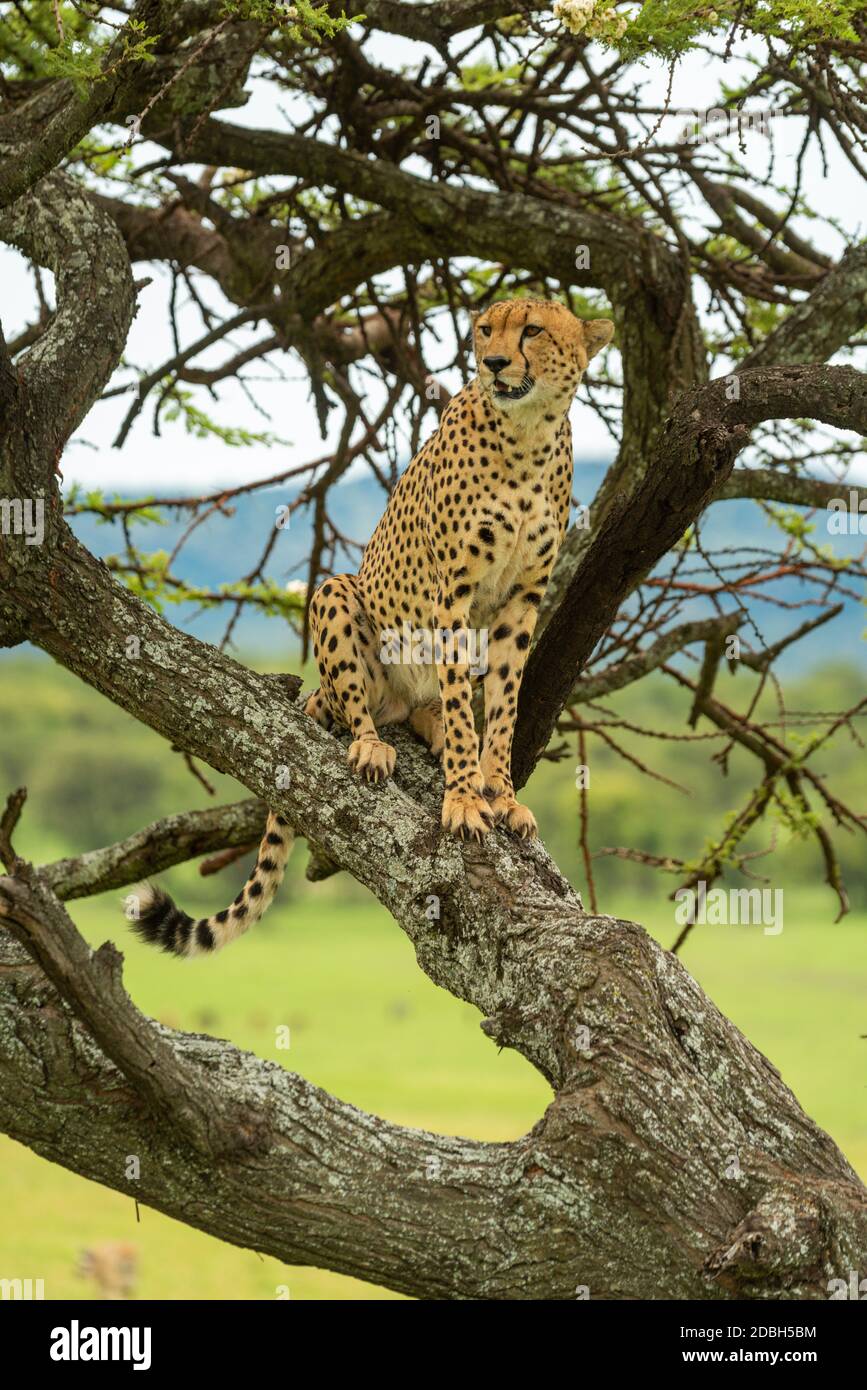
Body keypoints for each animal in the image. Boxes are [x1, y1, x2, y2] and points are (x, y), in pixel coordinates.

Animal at [129, 299, 613, 958]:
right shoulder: (453, 592)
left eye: (532, 330)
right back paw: (371, 744)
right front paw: (465, 797)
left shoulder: (522, 601)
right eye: (485, 330)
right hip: (338, 594)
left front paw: (501, 790)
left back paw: (430, 725)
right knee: (356, 702)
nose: (491, 362)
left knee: (429, 704)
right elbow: (464, 702)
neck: (528, 432)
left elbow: (503, 707)